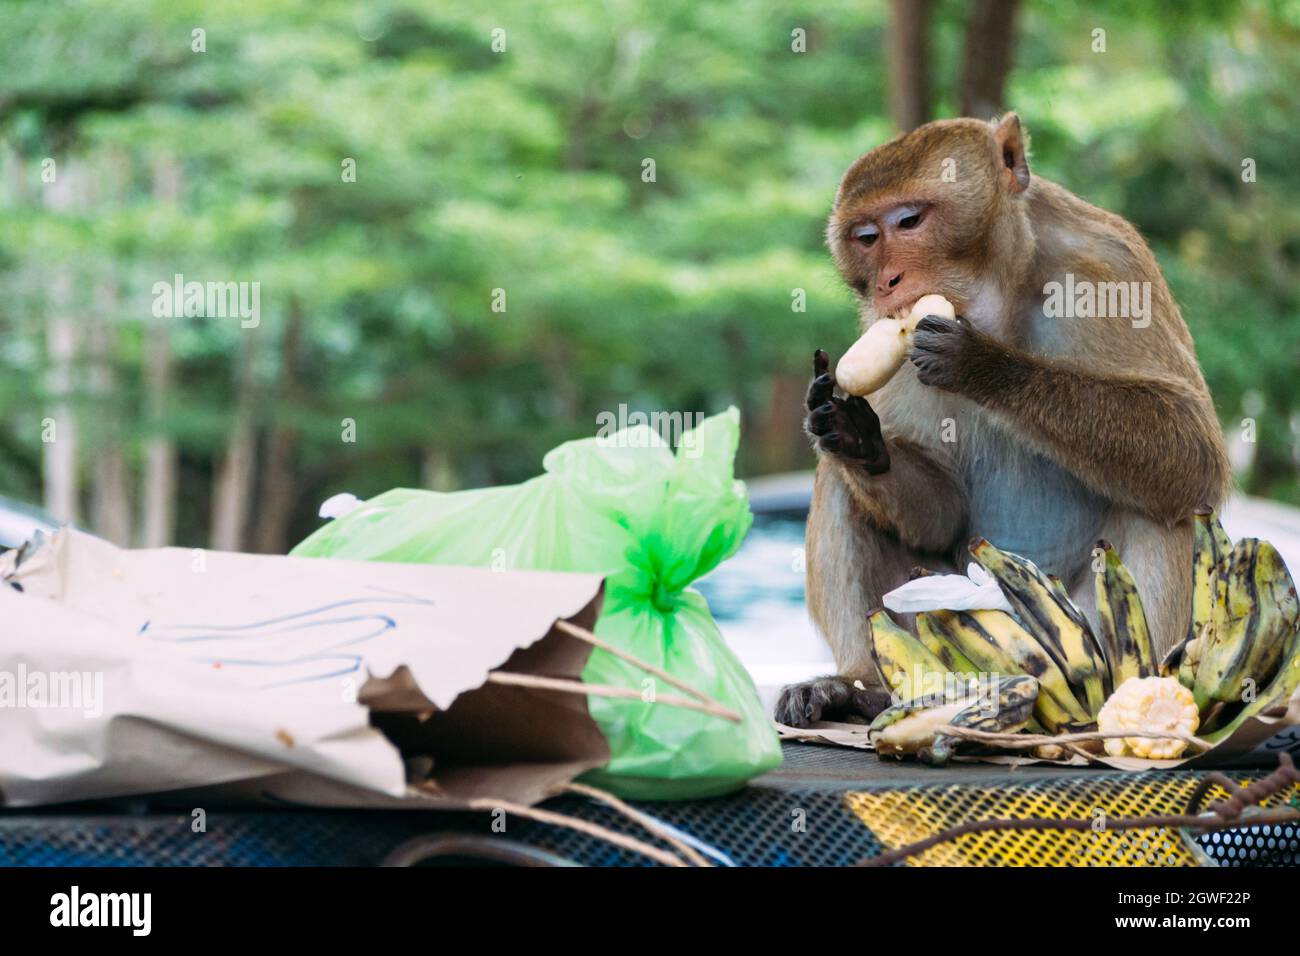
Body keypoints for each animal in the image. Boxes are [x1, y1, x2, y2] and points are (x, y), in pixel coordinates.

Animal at [775, 113, 1232, 727]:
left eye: (909, 221)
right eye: (866, 237)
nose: (887, 281)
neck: (1003, 300)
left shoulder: (1108, 266)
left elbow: (1191, 446)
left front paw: (983, 363)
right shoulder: (881, 329)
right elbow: (940, 515)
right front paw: (853, 434)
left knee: (1163, 504)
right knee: (842, 488)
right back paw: (857, 685)